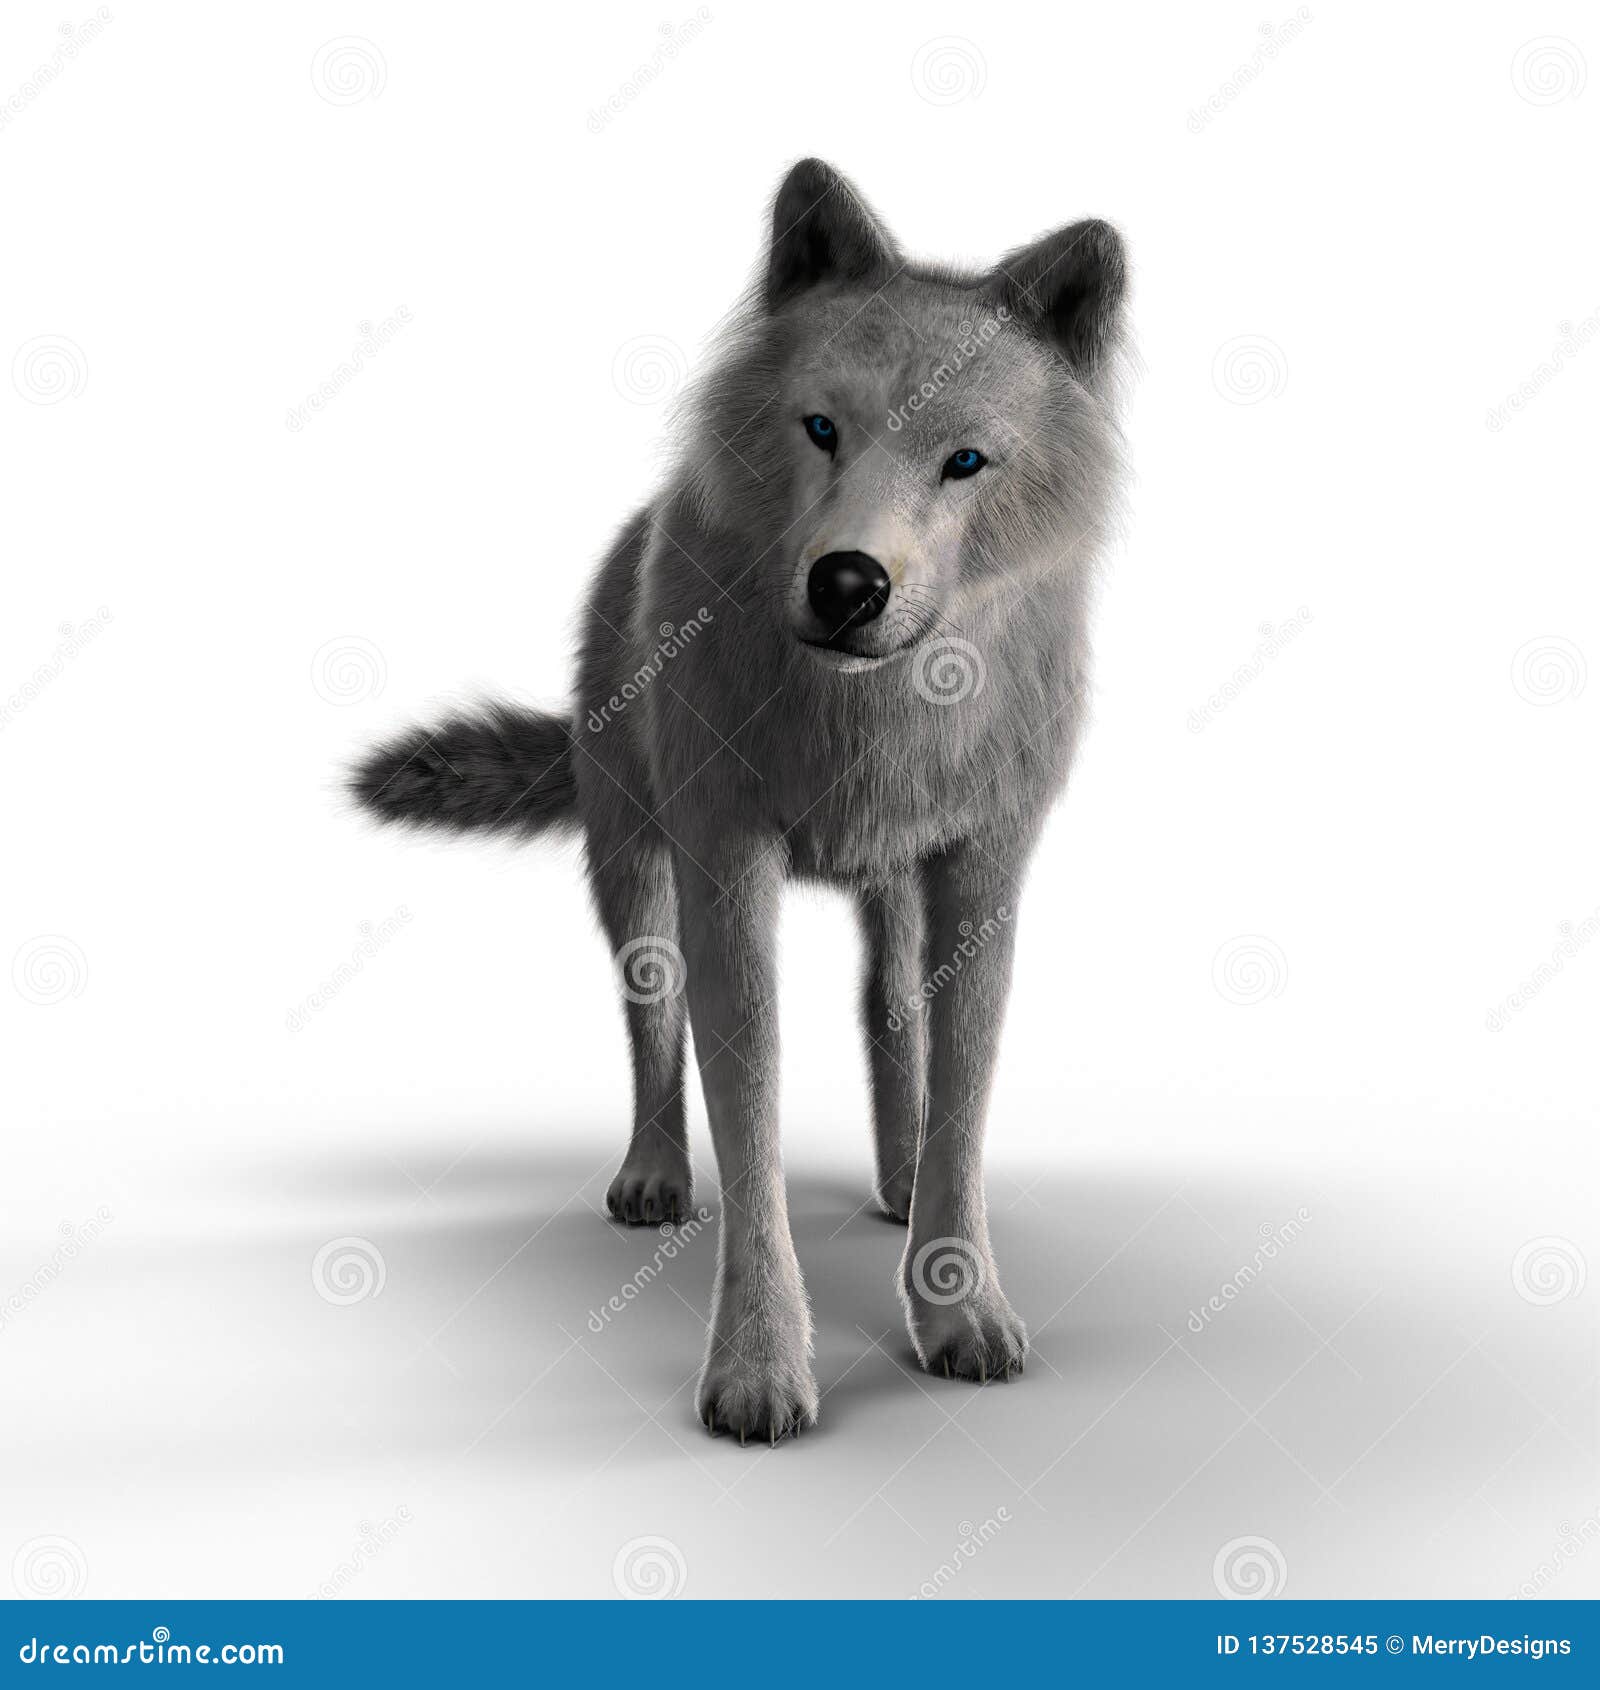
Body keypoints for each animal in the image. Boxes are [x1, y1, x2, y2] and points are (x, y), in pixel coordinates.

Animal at [350, 159, 1129, 1442]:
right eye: (820, 428)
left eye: (965, 460)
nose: (849, 582)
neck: (874, 713)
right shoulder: (726, 864)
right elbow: (746, 1107)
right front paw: (759, 1369)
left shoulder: (983, 866)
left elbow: (962, 1099)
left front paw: (957, 1303)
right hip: (635, 873)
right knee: (653, 1030)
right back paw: (655, 1175)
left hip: (889, 888)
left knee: (887, 1010)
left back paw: (895, 1178)